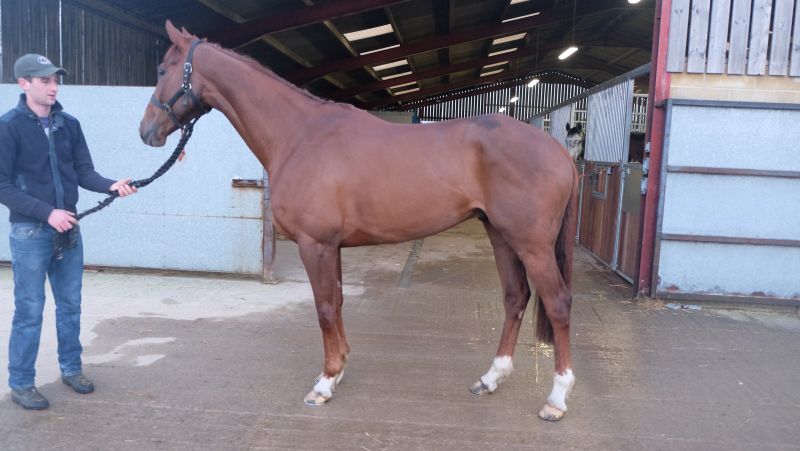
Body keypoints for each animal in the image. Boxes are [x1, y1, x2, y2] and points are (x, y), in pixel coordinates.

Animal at [139, 21, 579, 422]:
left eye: (162, 69)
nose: (146, 132)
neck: (299, 135)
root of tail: (559, 149)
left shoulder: (315, 243)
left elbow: (323, 308)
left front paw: (324, 383)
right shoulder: (330, 246)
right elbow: (336, 302)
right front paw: (338, 370)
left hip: (532, 244)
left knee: (557, 303)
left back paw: (556, 399)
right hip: (501, 235)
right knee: (515, 298)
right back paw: (491, 378)